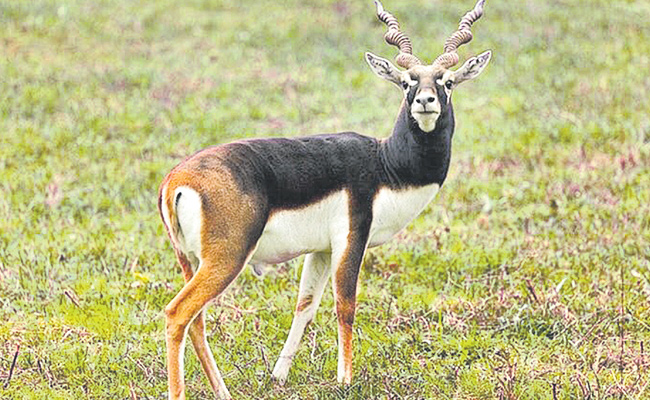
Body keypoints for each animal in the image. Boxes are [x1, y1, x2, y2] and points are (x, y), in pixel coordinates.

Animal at [157, 0, 491, 398]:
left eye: (447, 81)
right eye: (407, 82)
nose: (426, 101)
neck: (386, 164)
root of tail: (177, 180)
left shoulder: (320, 250)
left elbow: (305, 305)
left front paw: (278, 375)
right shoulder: (351, 238)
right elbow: (345, 304)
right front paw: (345, 379)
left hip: (190, 260)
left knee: (196, 319)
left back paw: (223, 391)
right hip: (227, 258)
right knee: (177, 313)